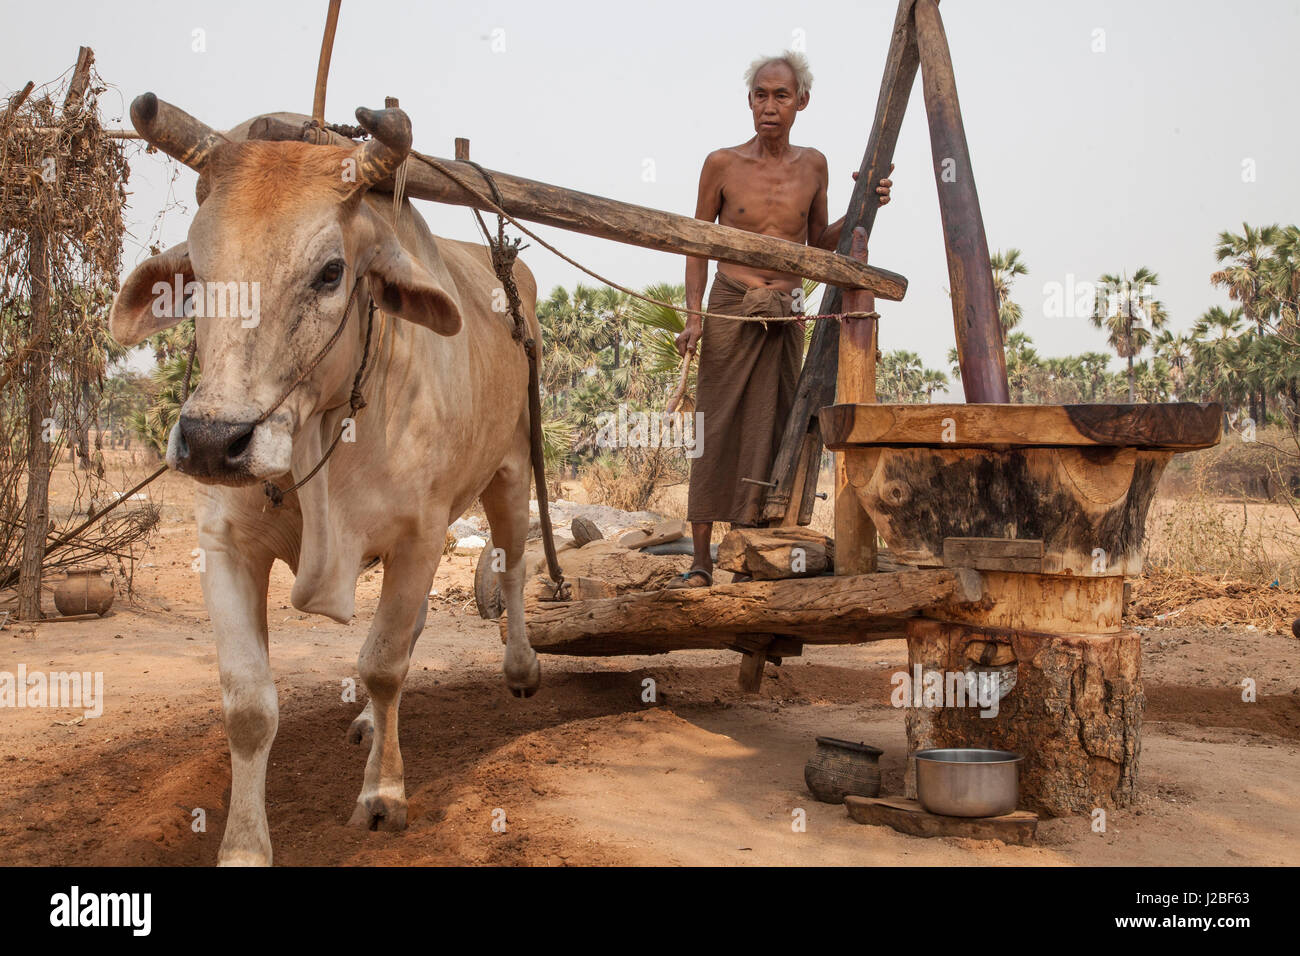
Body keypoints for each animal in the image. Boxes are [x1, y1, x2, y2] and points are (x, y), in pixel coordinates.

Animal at [108, 95, 541, 866]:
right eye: (199, 273)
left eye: (331, 272)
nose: (212, 442)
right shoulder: (225, 545)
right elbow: (249, 703)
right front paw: (244, 845)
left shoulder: (421, 535)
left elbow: (384, 665)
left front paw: (383, 796)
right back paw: (369, 723)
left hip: (512, 473)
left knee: (514, 565)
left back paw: (519, 667)